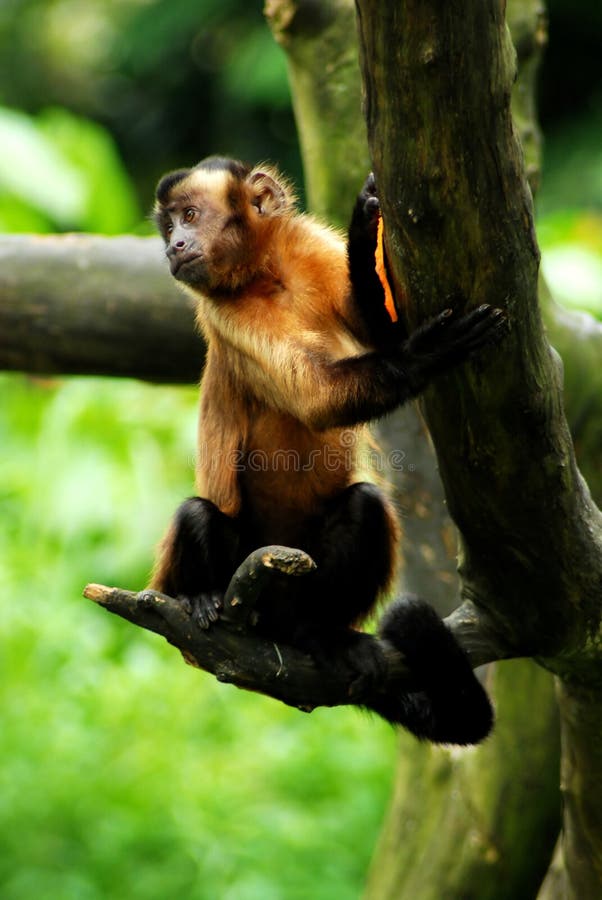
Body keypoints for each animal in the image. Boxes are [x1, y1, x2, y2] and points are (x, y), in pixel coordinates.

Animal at [150, 155, 501, 743]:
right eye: (168, 226)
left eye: (189, 217)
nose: (173, 246)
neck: (266, 273)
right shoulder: (225, 314)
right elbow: (317, 399)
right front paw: (425, 353)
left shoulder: (310, 247)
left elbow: (382, 332)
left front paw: (363, 233)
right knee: (199, 513)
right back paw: (200, 599)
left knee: (365, 506)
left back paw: (321, 635)